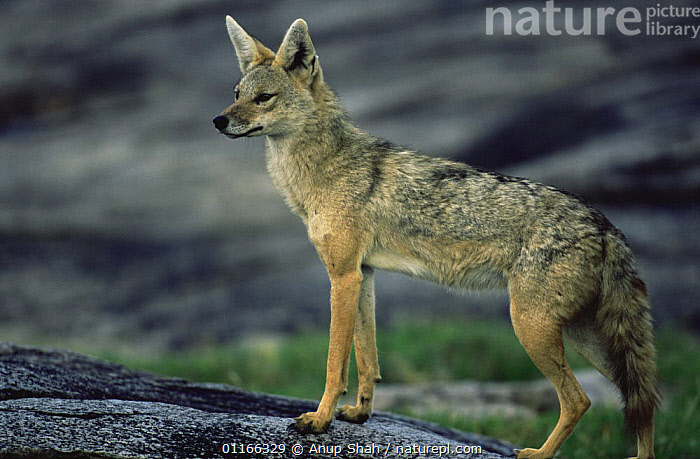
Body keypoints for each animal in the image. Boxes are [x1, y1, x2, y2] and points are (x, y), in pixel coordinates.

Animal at [213, 17, 659, 459]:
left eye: (264, 98)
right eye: (236, 95)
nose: (218, 121)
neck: (318, 173)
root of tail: (604, 224)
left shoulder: (342, 277)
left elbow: (334, 362)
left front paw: (319, 421)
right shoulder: (362, 275)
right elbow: (368, 359)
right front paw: (359, 414)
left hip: (532, 328)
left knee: (580, 399)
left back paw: (536, 453)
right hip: (586, 340)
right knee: (644, 398)